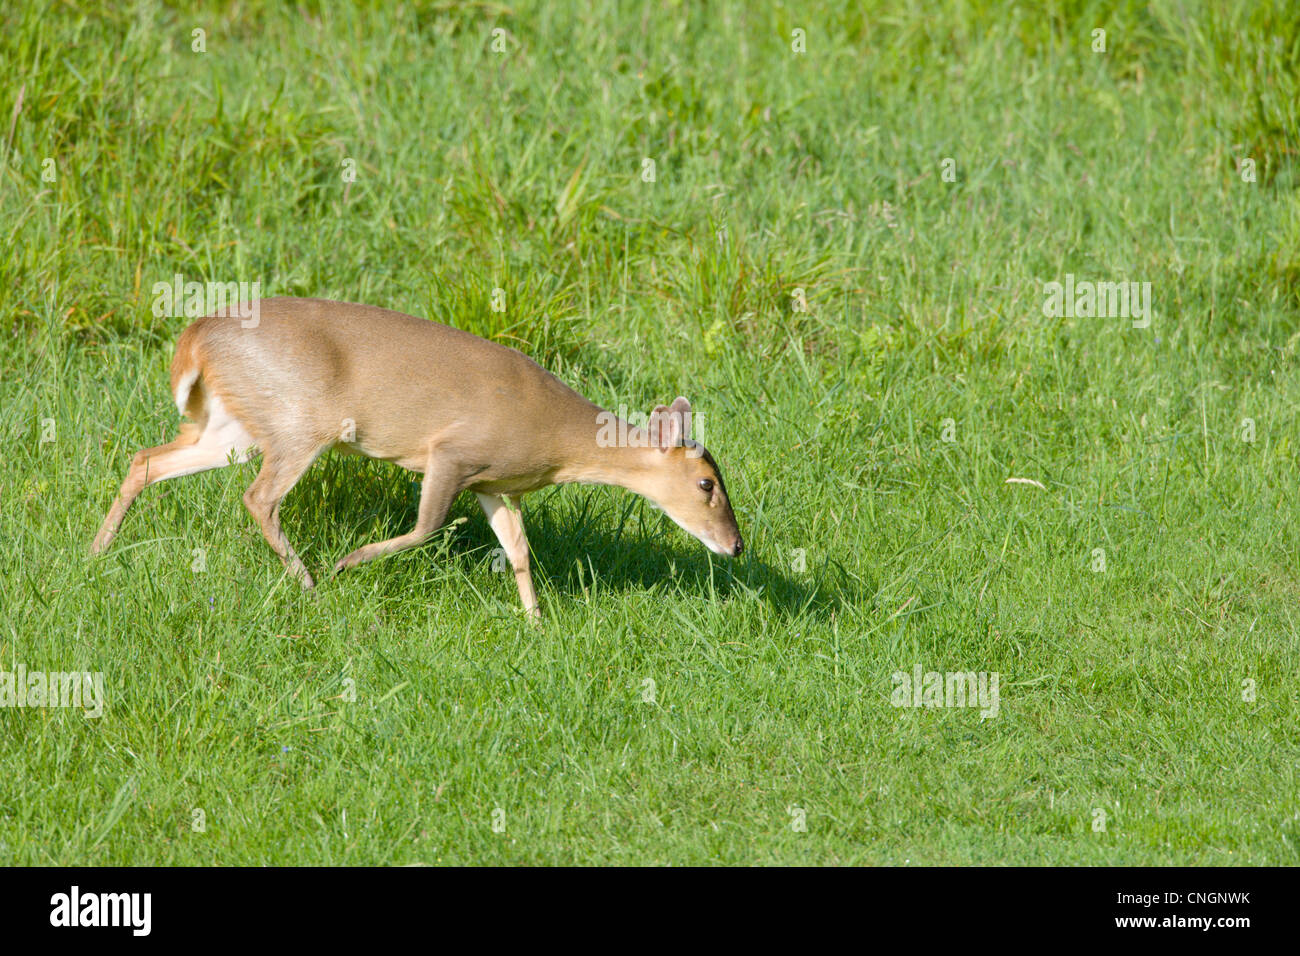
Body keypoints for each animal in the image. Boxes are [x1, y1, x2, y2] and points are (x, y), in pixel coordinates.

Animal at [90, 298, 743, 617]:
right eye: (707, 484)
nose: (737, 546)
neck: (557, 441)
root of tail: (195, 335)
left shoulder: (494, 484)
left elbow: (518, 550)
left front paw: (536, 623)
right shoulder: (452, 452)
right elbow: (428, 527)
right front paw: (348, 563)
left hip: (234, 423)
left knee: (146, 459)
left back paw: (96, 551)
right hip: (300, 422)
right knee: (259, 497)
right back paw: (309, 582)